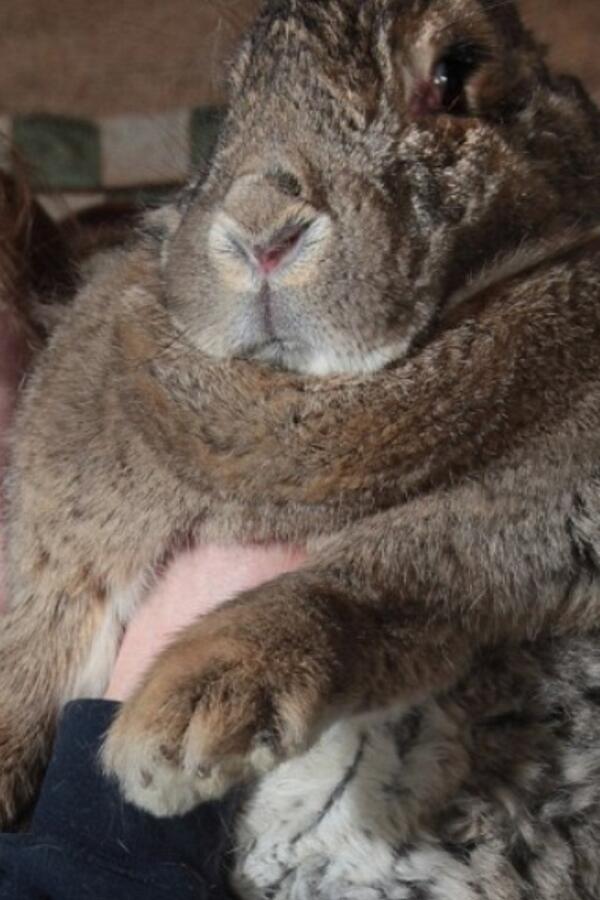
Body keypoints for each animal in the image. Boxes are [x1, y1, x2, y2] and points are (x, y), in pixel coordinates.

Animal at [2, 0, 600, 895]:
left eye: (454, 74)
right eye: (231, 108)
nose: (261, 231)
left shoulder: (542, 516)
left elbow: (382, 574)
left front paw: (186, 725)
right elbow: (34, 628)